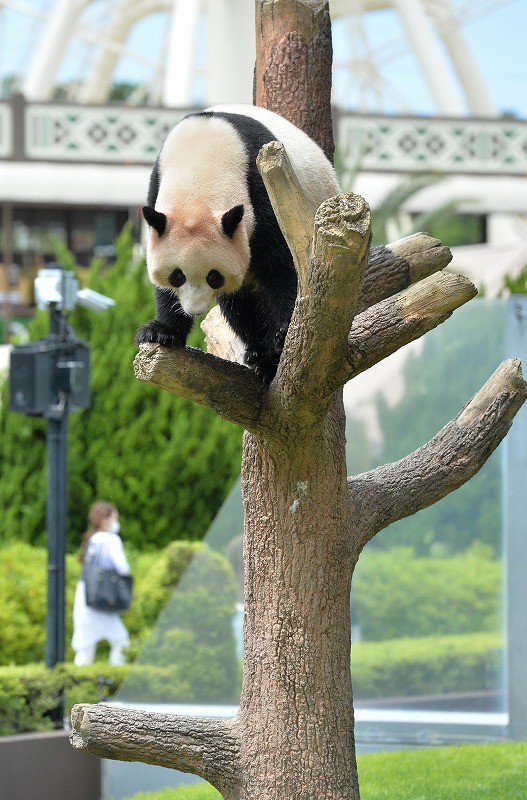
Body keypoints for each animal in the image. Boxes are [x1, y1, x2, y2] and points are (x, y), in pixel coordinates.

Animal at [136, 104, 340, 383]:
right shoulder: (157, 186)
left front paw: (283, 334)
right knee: (239, 306)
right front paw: (160, 331)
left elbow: (281, 266)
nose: (194, 310)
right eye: (177, 275)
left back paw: (268, 361)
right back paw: (257, 352)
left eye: (214, 276)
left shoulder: (262, 187)